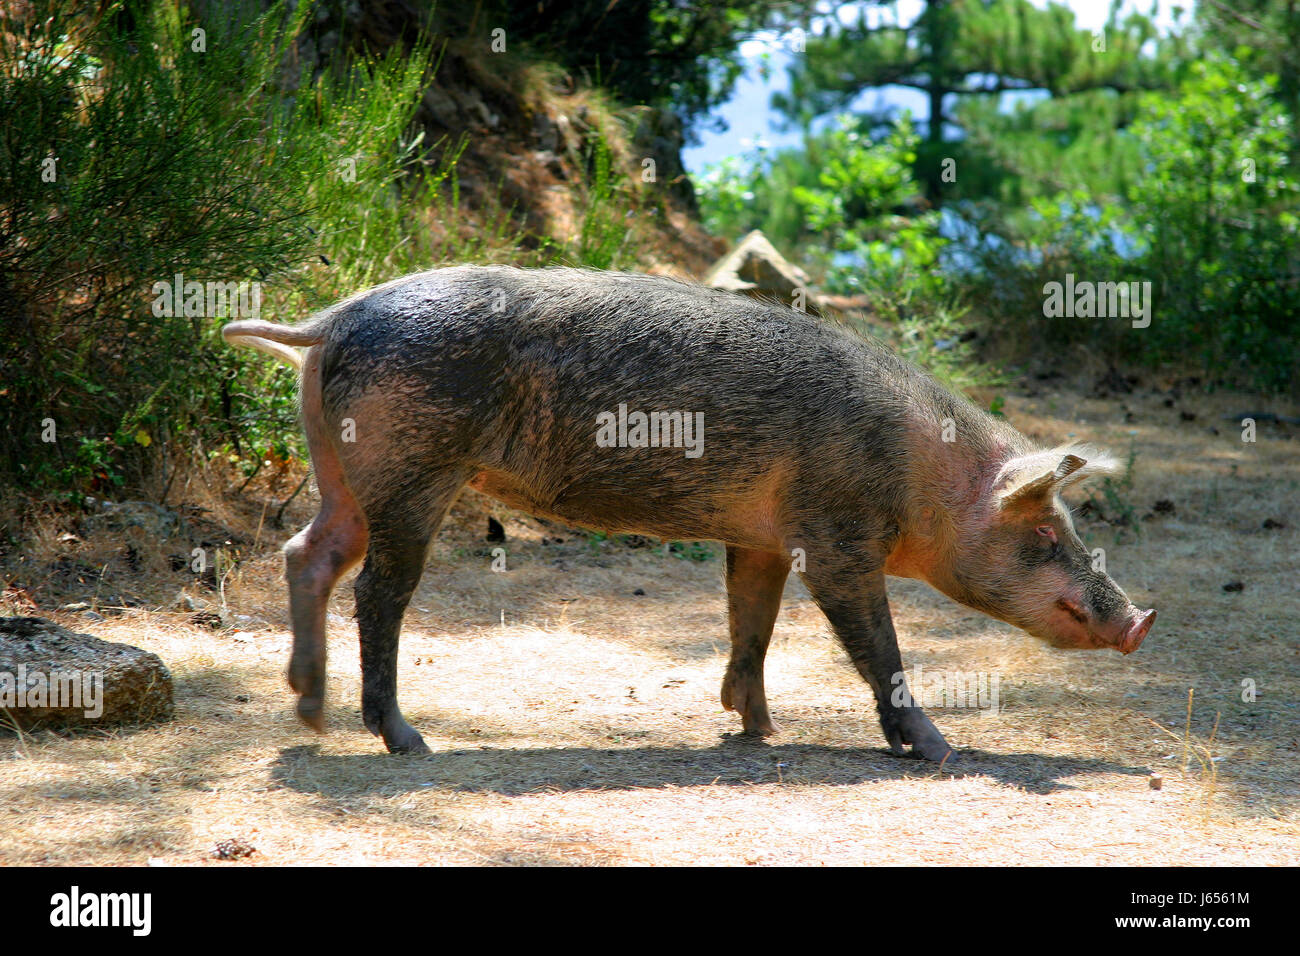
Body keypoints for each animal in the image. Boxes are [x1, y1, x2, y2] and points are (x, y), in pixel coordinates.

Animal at [222, 266, 1155, 761]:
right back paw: (405, 740)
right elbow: (876, 646)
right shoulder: (837, 539)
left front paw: (760, 730)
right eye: (1045, 531)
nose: (1141, 620)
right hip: (413, 471)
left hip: (341, 468)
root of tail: (331, 318)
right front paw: (937, 751)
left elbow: (753, 623)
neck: (920, 472)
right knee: (377, 593)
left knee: (306, 553)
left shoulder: (762, 539)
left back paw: (309, 710)